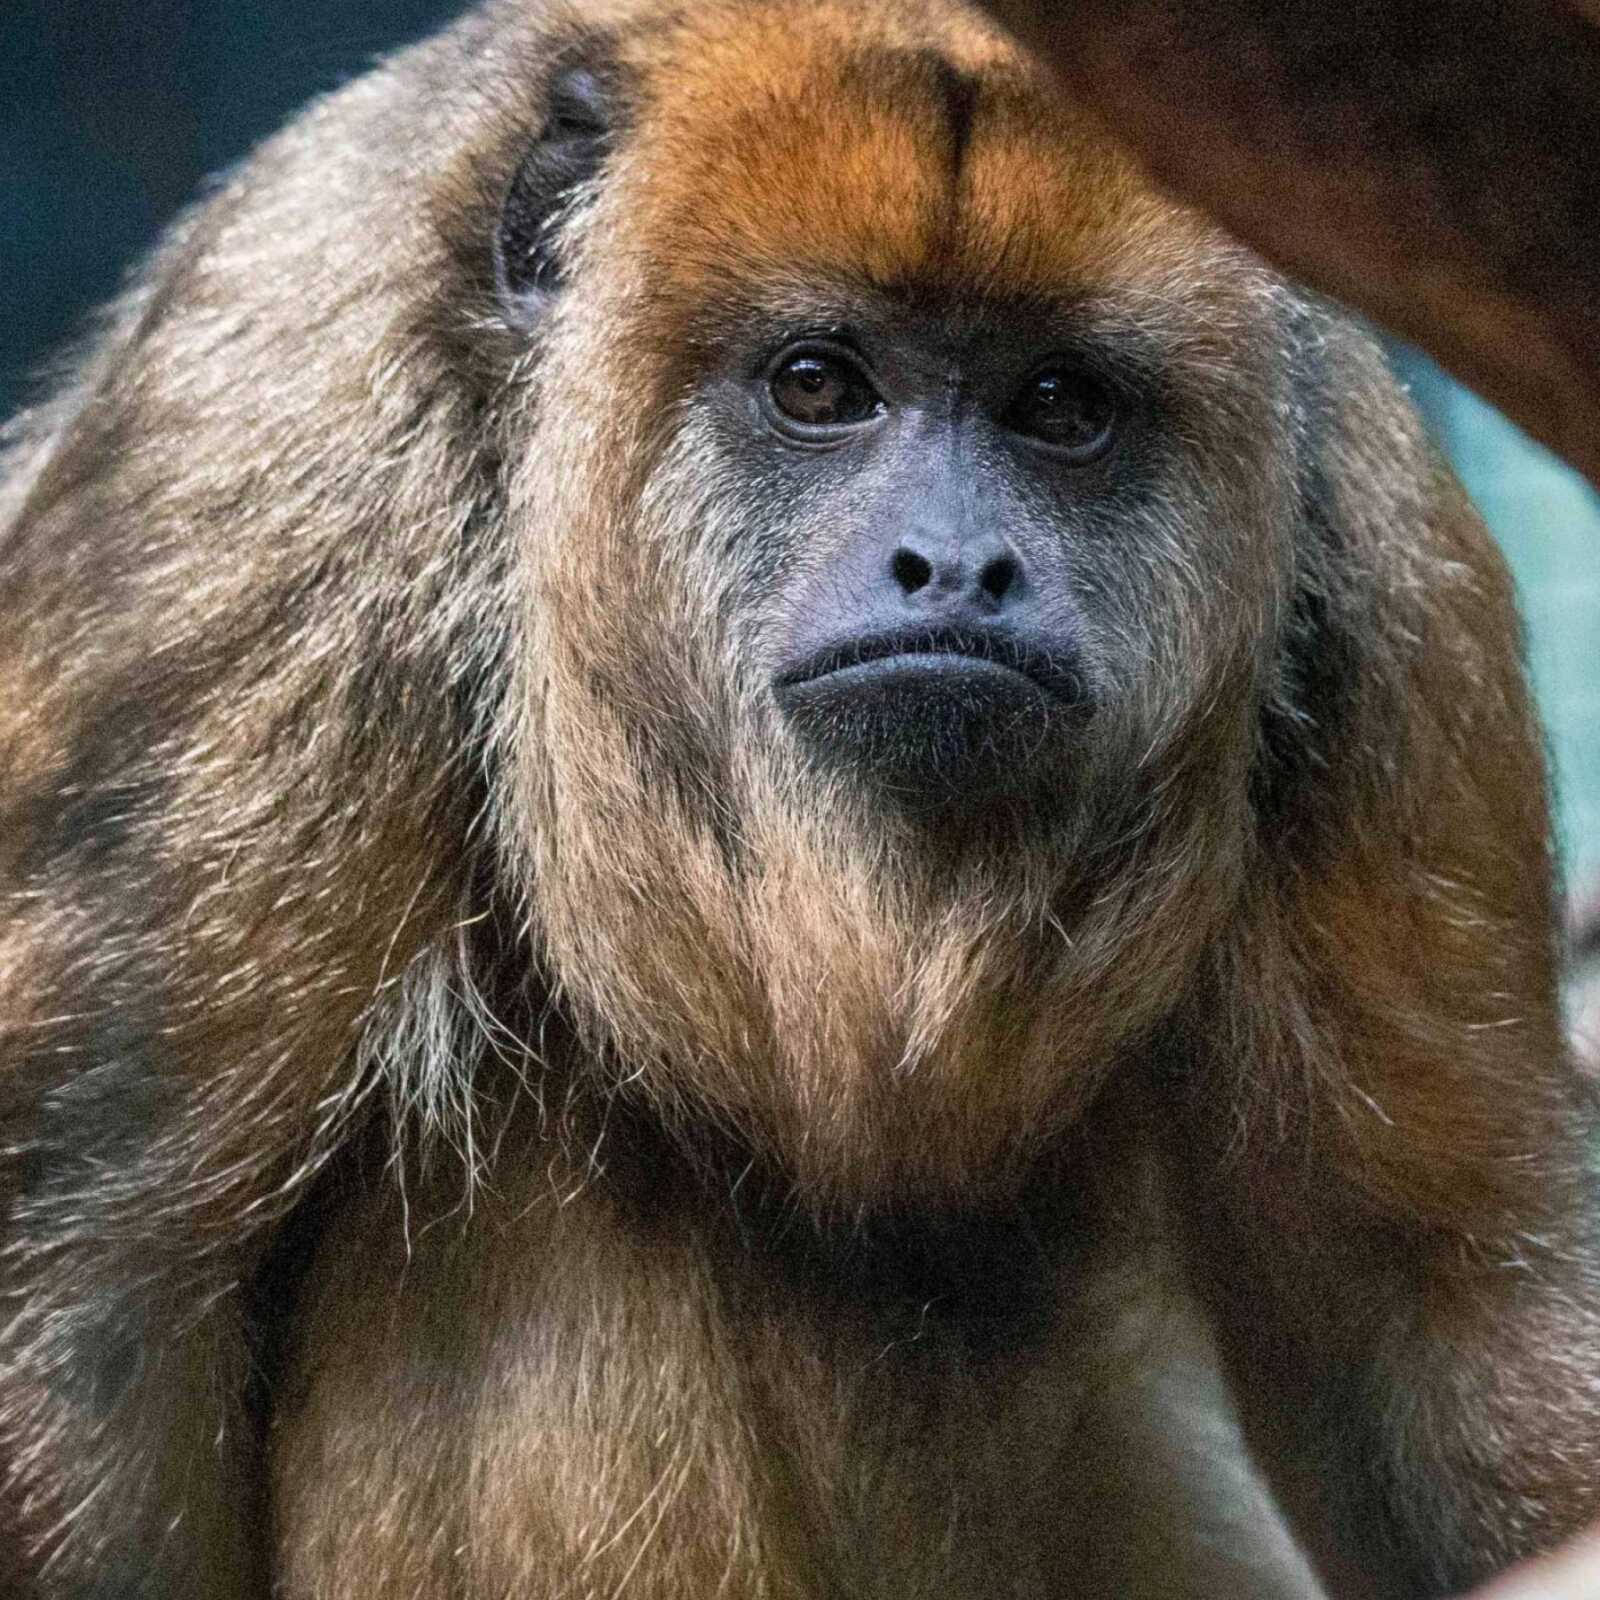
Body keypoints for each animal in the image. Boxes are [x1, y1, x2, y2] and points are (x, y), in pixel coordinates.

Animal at [2, 0, 1598, 1595]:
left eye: (1060, 408)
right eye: (818, 386)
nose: (957, 566)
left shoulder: (1372, 553)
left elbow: (1441, 1305)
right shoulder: (257, 465)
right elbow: (87, 1299)